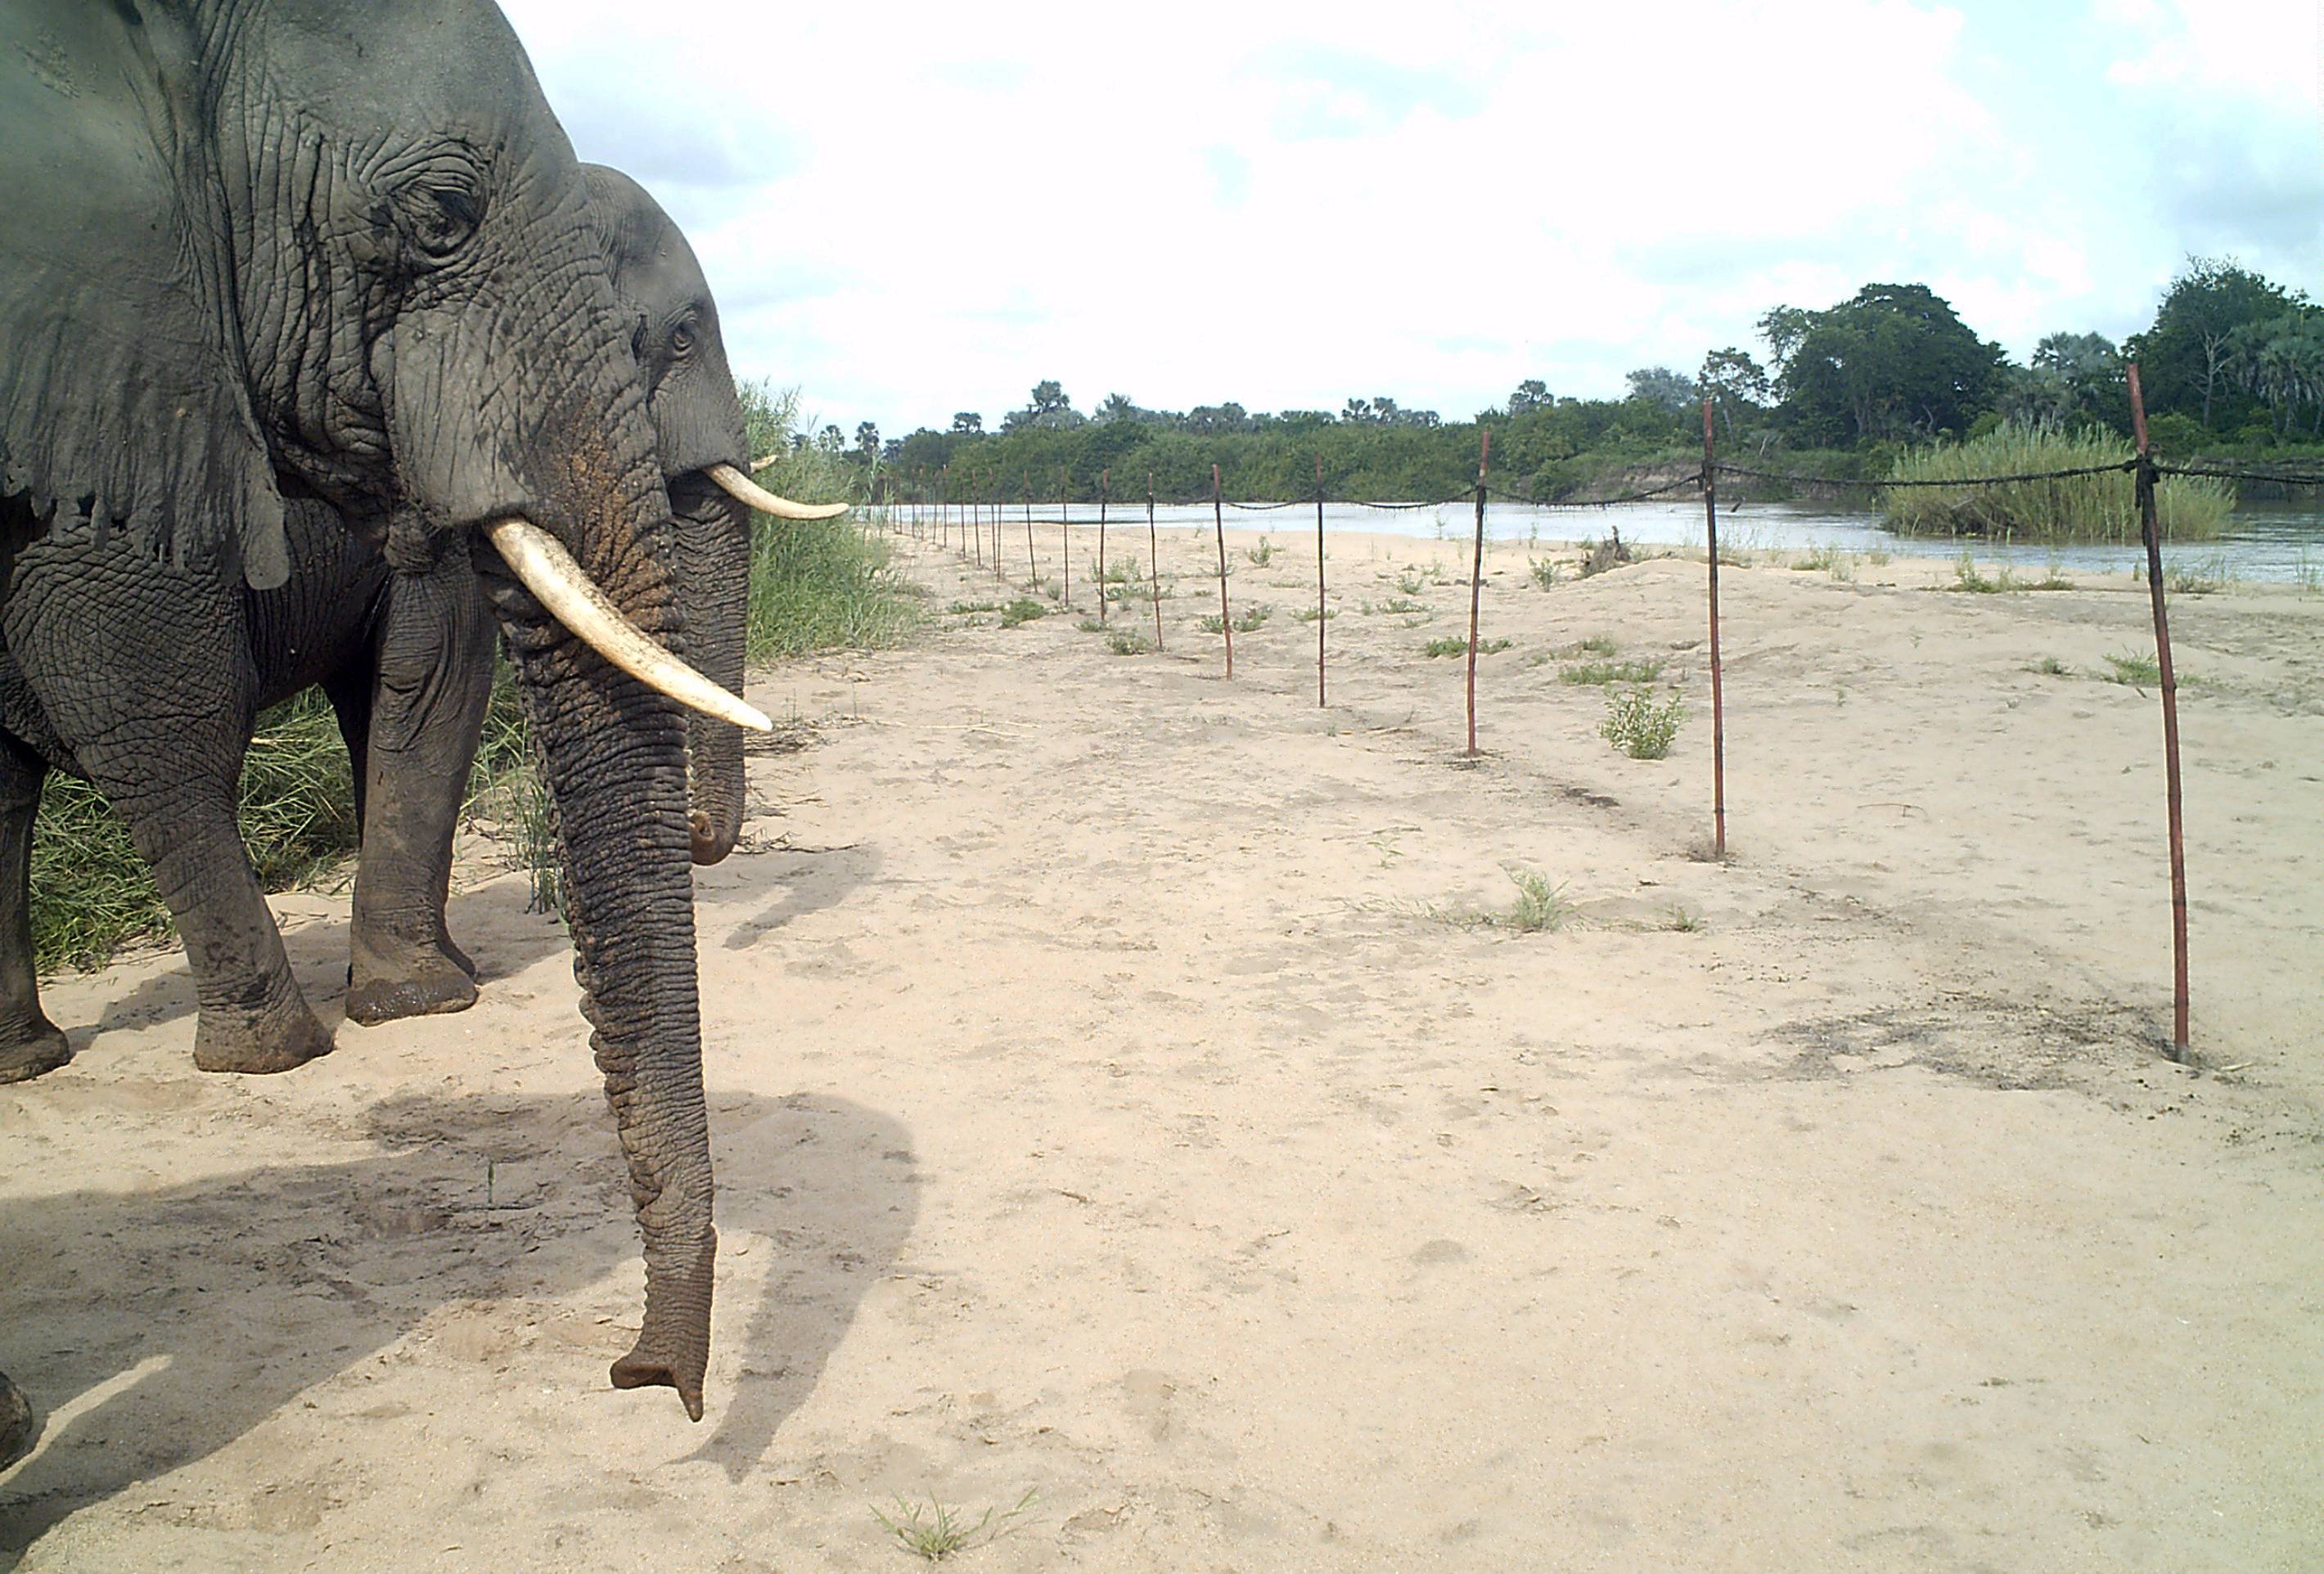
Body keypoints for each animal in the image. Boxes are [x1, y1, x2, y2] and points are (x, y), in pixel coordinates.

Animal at [0, 0, 767, 1430]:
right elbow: (433, 679)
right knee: (171, 748)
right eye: (442, 217)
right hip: (114, 553)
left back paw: (31, 1066)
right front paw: (425, 1007)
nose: (641, 1376)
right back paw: (272, 1055)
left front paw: (440, 977)